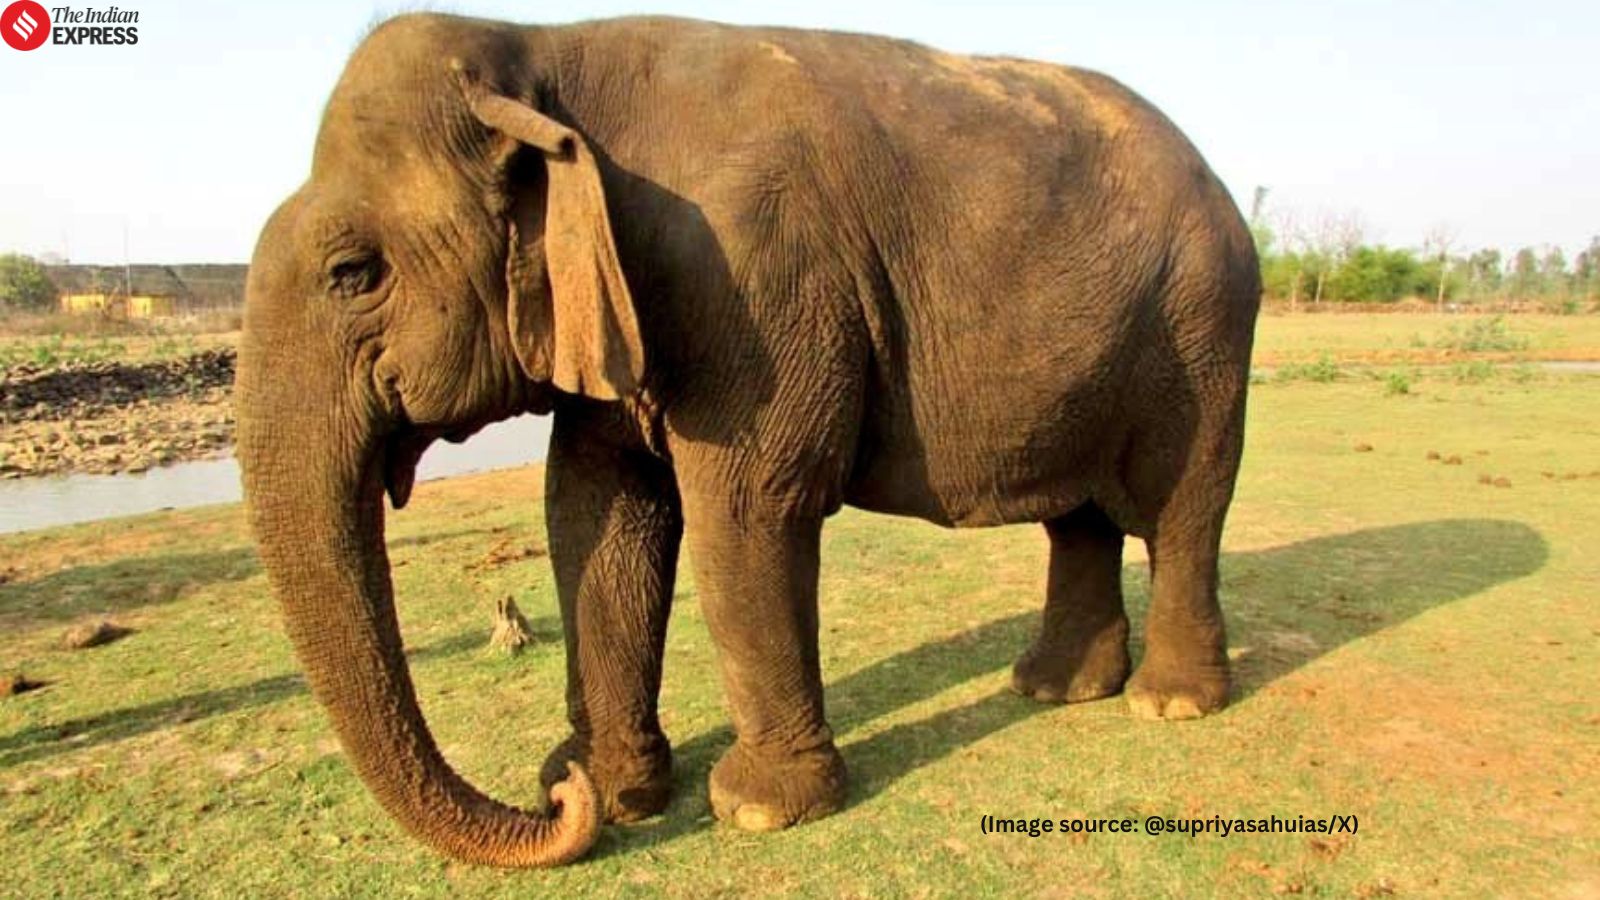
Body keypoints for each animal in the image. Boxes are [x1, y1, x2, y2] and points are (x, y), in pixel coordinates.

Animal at [236, 13, 1260, 868]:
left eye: (352, 273)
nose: (556, 794)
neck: (541, 49)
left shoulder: (755, 281)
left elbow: (745, 508)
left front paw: (759, 810)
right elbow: (596, 512)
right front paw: (618, 790)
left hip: (1205, 325)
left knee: (1185, 507)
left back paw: (1169, 703)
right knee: (1080, 516)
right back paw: (1054, 690)